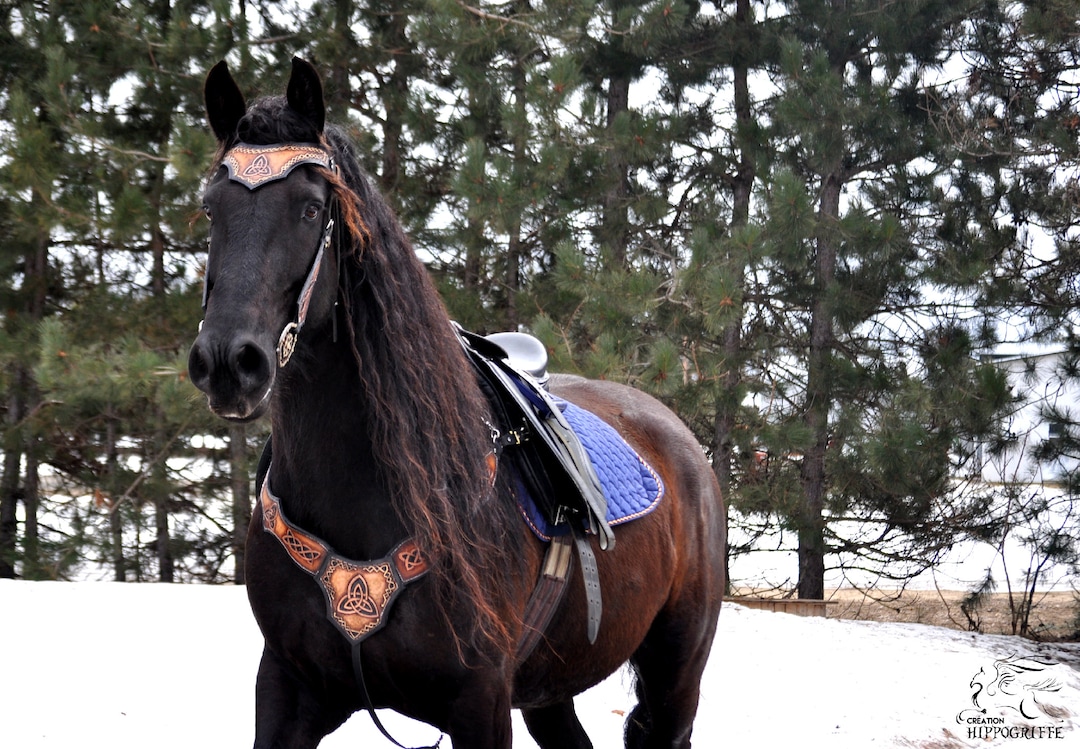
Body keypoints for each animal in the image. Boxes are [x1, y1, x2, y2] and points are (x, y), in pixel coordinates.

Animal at [188, 57, 725, 749]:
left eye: (310, 208)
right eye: (211, 210)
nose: (229, 362)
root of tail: (678, 438)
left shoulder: (480, 701)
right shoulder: (288, 686)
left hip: (675, 671)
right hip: (550, 688)